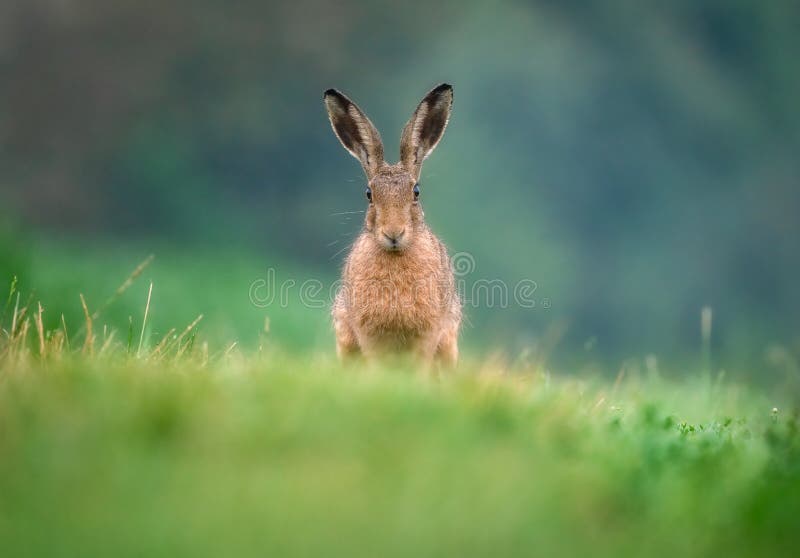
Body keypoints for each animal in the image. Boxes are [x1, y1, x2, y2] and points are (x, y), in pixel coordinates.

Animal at [323, 84, 461, 365]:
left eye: (416, 192)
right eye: (369, 194)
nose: (393, 233)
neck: (396, 254)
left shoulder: (428, 334)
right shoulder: (368, 334)